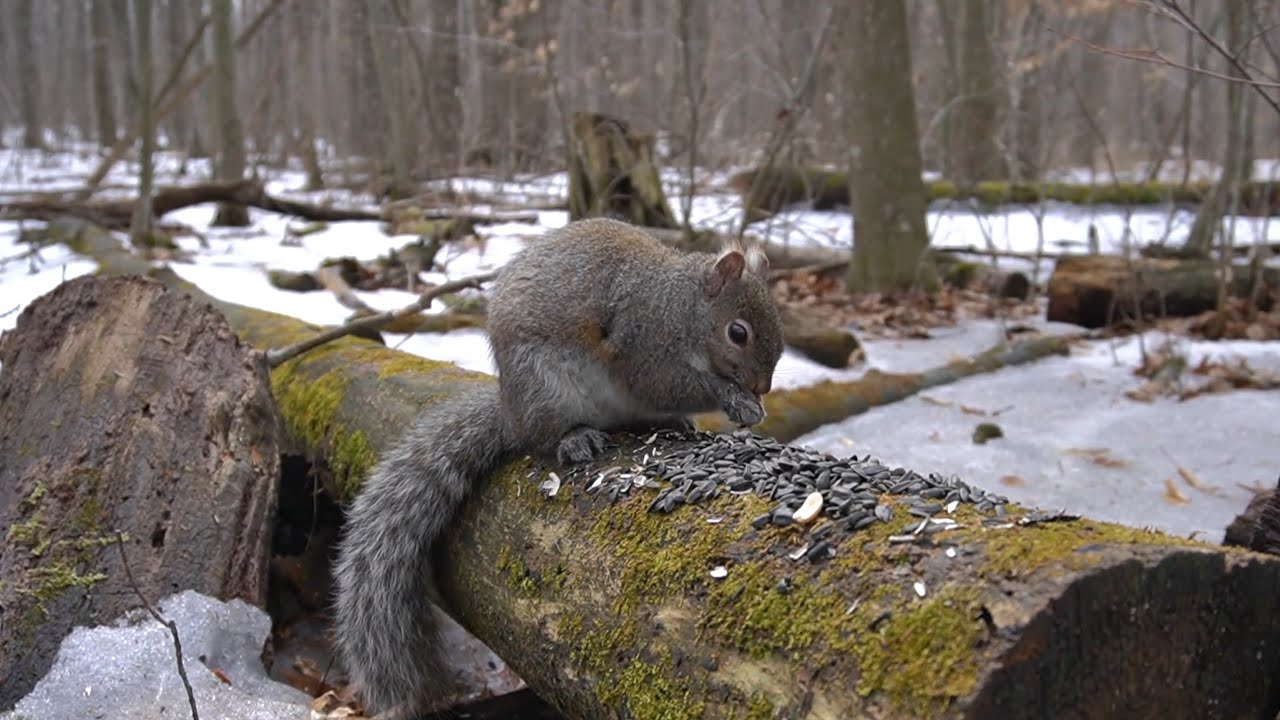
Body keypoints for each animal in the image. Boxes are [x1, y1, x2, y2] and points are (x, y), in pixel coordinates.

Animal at [331, 217, 784, 717]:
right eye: (738, 333)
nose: (763, 385)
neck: (681, 307)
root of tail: (512, 415)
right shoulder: (644, 343)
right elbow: (671, 383)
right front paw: (734, 399)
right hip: (544, 387)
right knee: (546, 438)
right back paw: (575, 439)